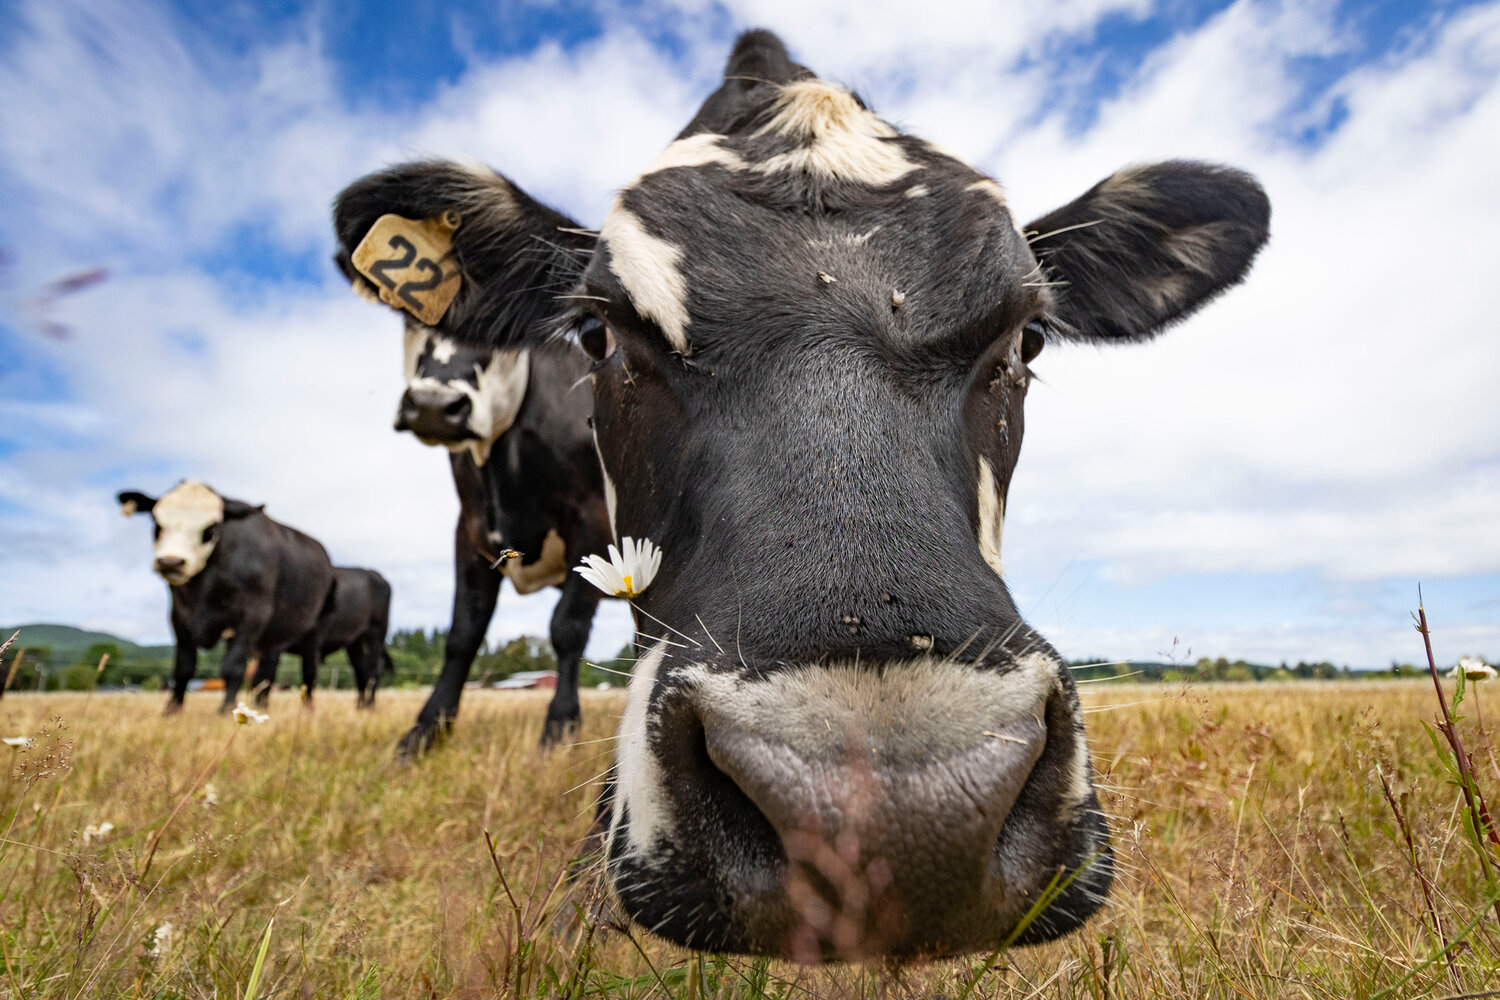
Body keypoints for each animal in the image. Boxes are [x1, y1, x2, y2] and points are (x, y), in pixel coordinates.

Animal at [117, 481, 335, 712]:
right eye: (157, 522)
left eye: (211, 528)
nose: (170, 562)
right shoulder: (179, 615)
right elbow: (184, 666)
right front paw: (172, 710)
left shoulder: (252, 615)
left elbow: (233, 665)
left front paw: (226, 709)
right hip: (274, 635)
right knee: (266, 672)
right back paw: (261, 707)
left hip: (311, 633)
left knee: (308, 673)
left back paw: (306, 710)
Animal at [377, 318, 614, 754]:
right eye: (412, 321)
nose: (434, 405)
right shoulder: (470, 532)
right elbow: (463, 632)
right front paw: (424, 732)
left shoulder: (594, 525)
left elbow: (567, 628)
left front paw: (559, 729)